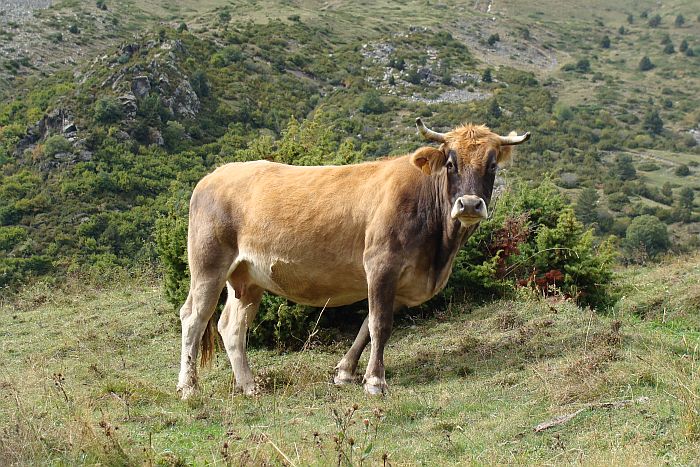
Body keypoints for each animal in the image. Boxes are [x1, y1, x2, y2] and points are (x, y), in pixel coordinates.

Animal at [176, 118, 530, 398]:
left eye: (492, 165)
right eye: (451, 163)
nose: (469, 204)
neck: (438, 254)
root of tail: (215, 175)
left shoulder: (398, 282)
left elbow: (366, 326)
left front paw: (345, 372)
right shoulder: (381, 263)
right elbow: (380, 324)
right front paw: (375, 381)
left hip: (247, 278)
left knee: (231, 325)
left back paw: (250, 386)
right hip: (208, 263)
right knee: (194, 317)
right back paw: (189, 387)